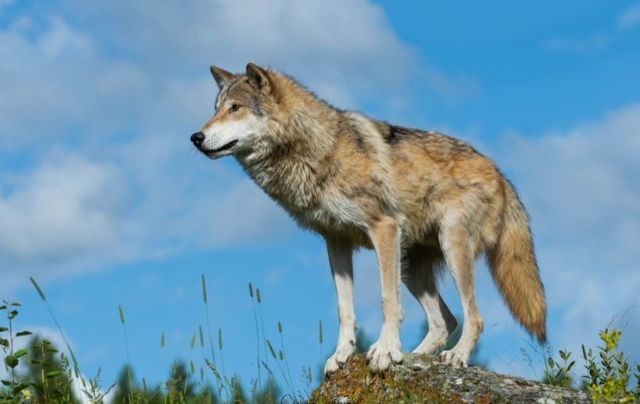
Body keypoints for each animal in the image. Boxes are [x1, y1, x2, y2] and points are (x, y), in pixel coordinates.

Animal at [190, 63, 546, 373]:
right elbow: (344, 309)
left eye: (235, 108)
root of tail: (500, 173)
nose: (196, 137)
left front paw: (385, 351)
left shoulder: (383, 228)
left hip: (450, 247)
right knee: (445, 321)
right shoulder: (335, 242)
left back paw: (455, 357)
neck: (320, 151)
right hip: (411, 266)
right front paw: (343, 355)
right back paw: (415, 357)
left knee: (473, 317)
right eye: (215, 108)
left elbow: (387, 300)